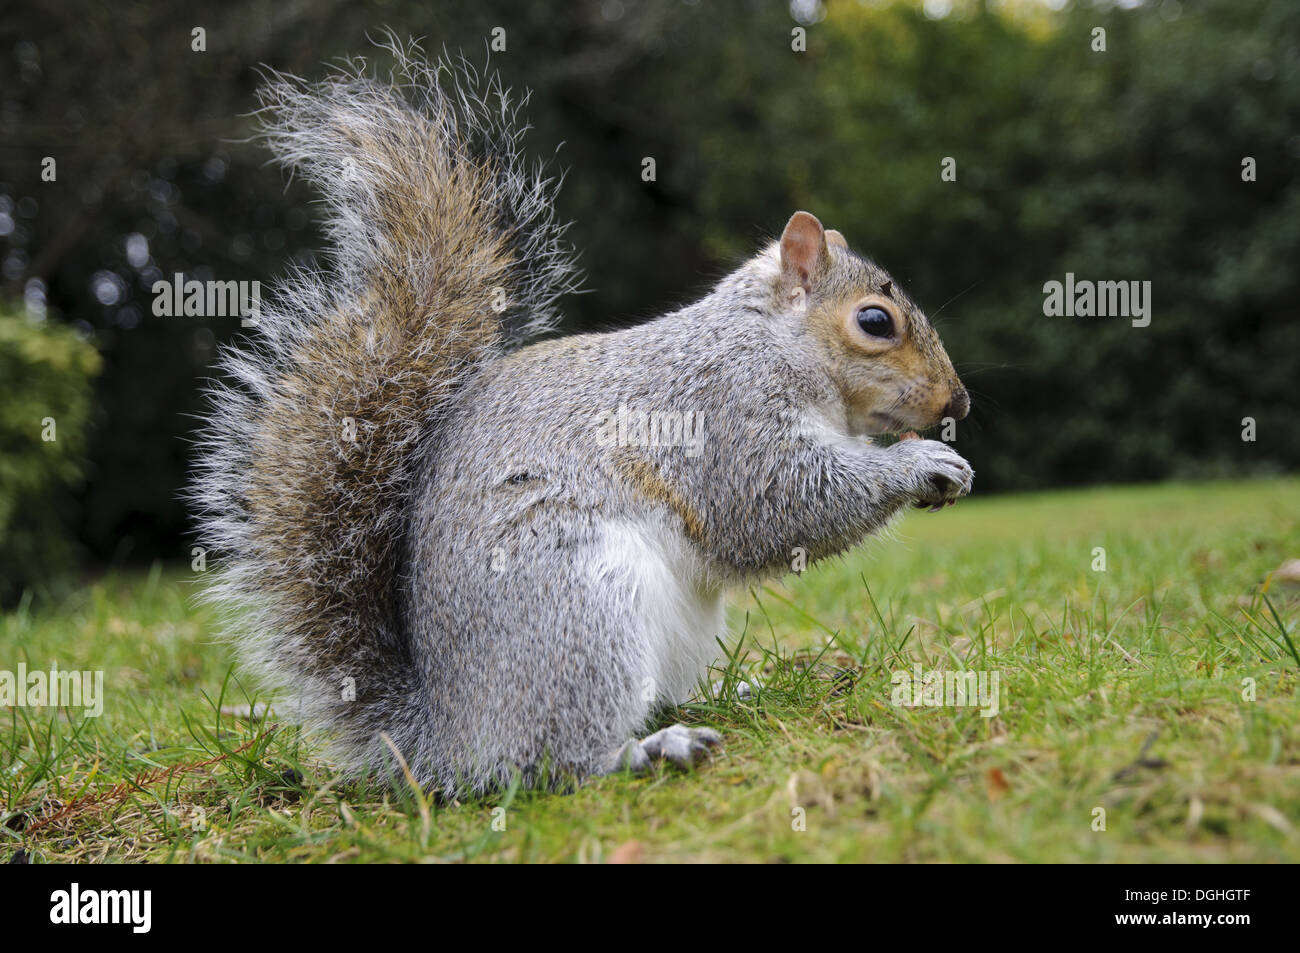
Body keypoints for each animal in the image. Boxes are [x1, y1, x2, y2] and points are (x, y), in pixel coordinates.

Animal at [192, 41, 973, 795]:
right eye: (875, 321)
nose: (958, 403)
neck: (769, 341)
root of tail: (447, 737)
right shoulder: (719, 413)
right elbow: (778, 503)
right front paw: (920, 462)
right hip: (581, 609)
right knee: (549, 761)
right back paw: (648, 750)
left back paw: (730, 692)